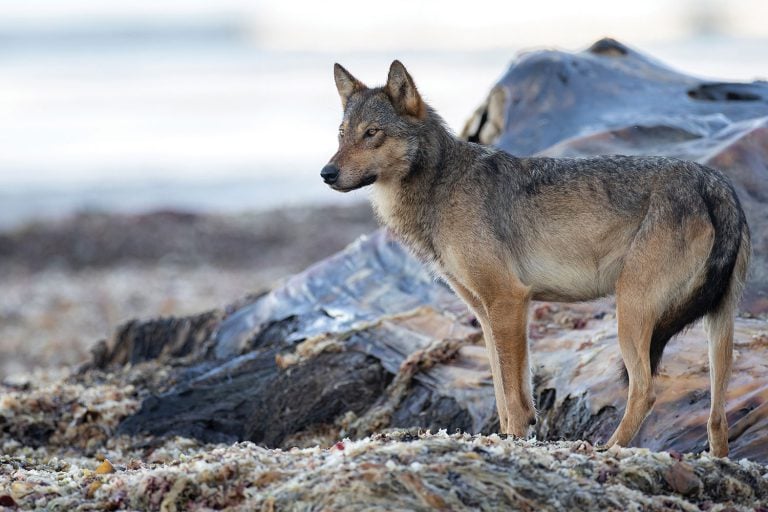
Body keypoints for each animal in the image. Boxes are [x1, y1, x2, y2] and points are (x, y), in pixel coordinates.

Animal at [321, 60, 750, 457]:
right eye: (342, 135)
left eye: (372, 133)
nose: (326, 173)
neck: (442, 185)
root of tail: (713, 181)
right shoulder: (488, 313)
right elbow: (505, 391)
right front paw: (512, 436)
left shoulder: (507, 300)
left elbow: (512, 396)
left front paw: (512, 439)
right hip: (718, 323)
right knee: (718, 416)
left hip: (629, 311)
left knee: (645, 390)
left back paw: (607, 448)